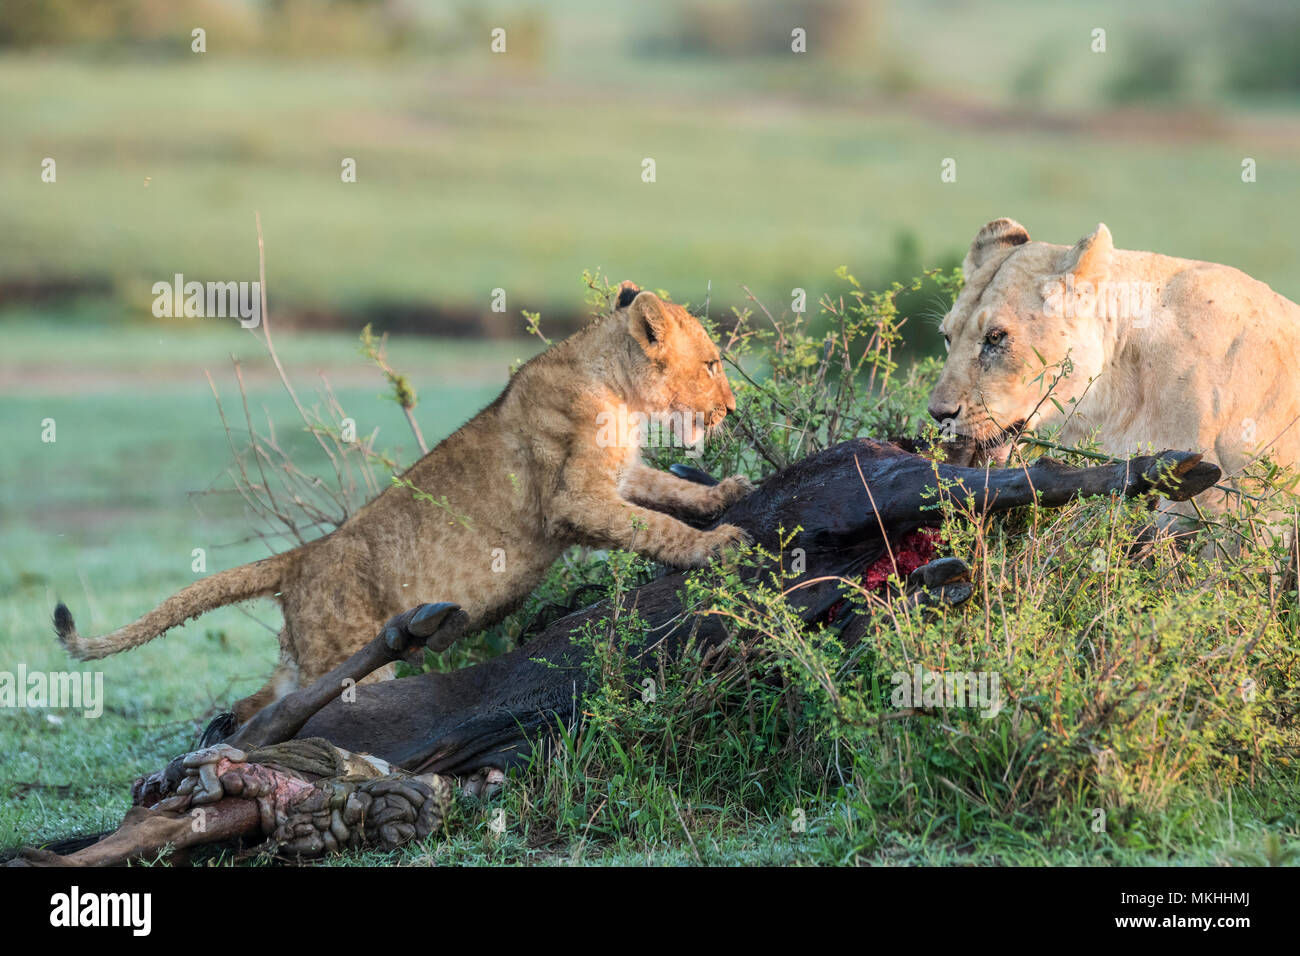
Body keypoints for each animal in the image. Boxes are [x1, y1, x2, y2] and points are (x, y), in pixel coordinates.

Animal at [55, 282, 753, 721]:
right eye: (713, 364)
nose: (732, 409)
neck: (617, 388)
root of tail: (303, 557)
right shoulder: (573, 502)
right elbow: (653, 527)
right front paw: (718, 544)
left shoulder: (620, 476)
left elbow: (668, 492)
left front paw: (726, 491)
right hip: (350, 656)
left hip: (300, 657)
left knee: (255, 707)